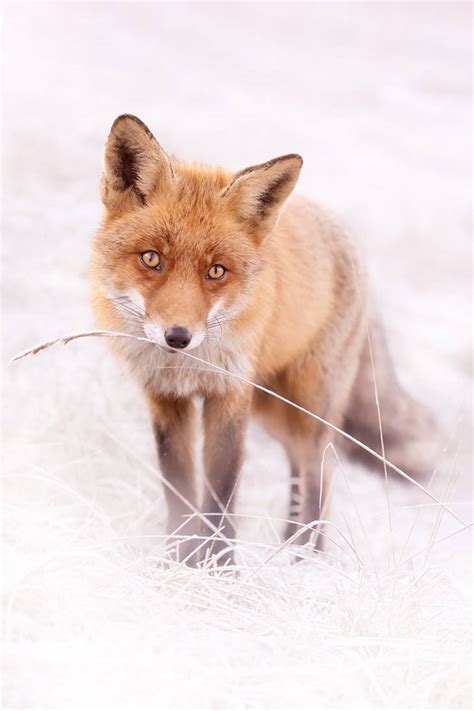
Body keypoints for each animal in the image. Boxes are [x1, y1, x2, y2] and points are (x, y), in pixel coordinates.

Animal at [91, 114, 436, 564]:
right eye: (152, 259)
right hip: (273, 410)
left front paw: (218, 569)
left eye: (216, 271)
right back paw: (288, 543)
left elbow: (221, 492)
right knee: (298, 468)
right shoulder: (166, 398)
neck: (187, 366)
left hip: (309, 404)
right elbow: (178, 488)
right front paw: (177, 562)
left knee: (318, 472)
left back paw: (305, 559)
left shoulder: (229, 395)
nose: (178, 337)